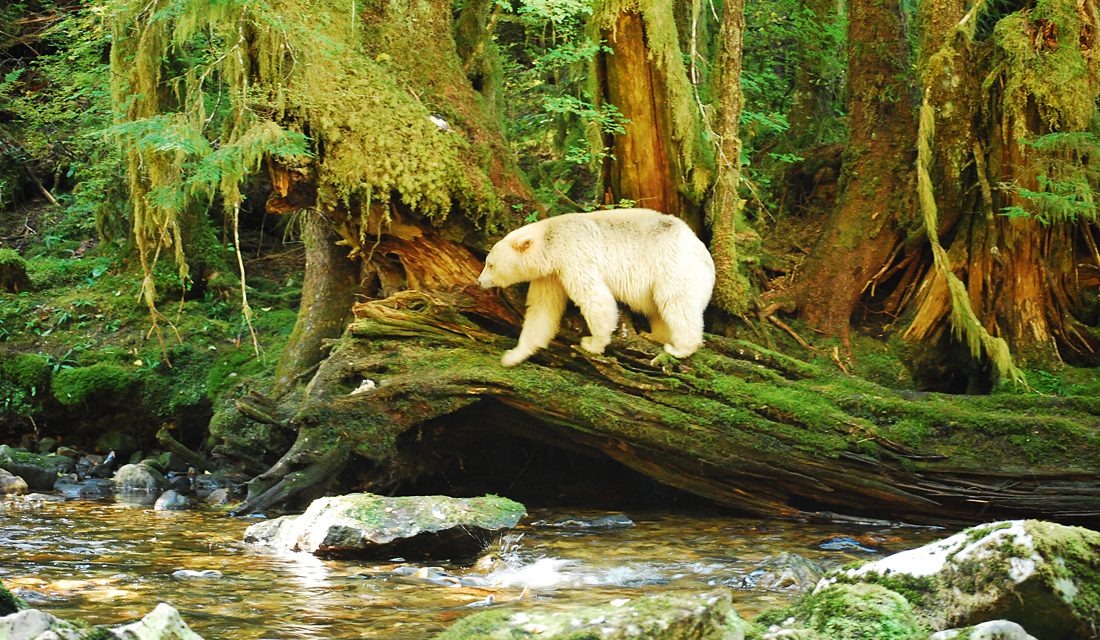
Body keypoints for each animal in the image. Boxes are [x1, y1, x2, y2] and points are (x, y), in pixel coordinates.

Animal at [477, 208, 715, 367]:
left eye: (490, 264)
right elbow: (542, 309)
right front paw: (512, 356)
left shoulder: (575, 255)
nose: (479, 281)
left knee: (676, 302)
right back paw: (655, 335)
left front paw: (592, 343)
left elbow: (594, 297)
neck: (552, 240)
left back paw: (680, 347)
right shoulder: (550, 275)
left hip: (674, 265)